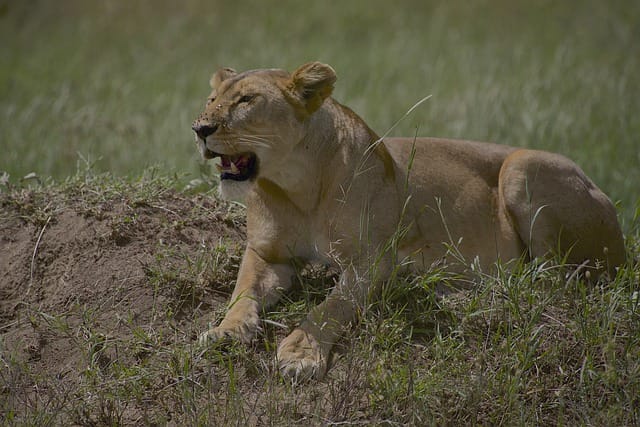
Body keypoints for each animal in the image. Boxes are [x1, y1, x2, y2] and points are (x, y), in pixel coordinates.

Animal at [191, 62, 625, 381]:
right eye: (211, 99)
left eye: (247, 100)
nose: (200, 128)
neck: (296, 186)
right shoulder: (267, 253)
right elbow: (243, 293)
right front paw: (225, 331)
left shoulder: (372, 261)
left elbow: (330, 306)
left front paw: (301, 351)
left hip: (524, 167)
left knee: (557, 281)